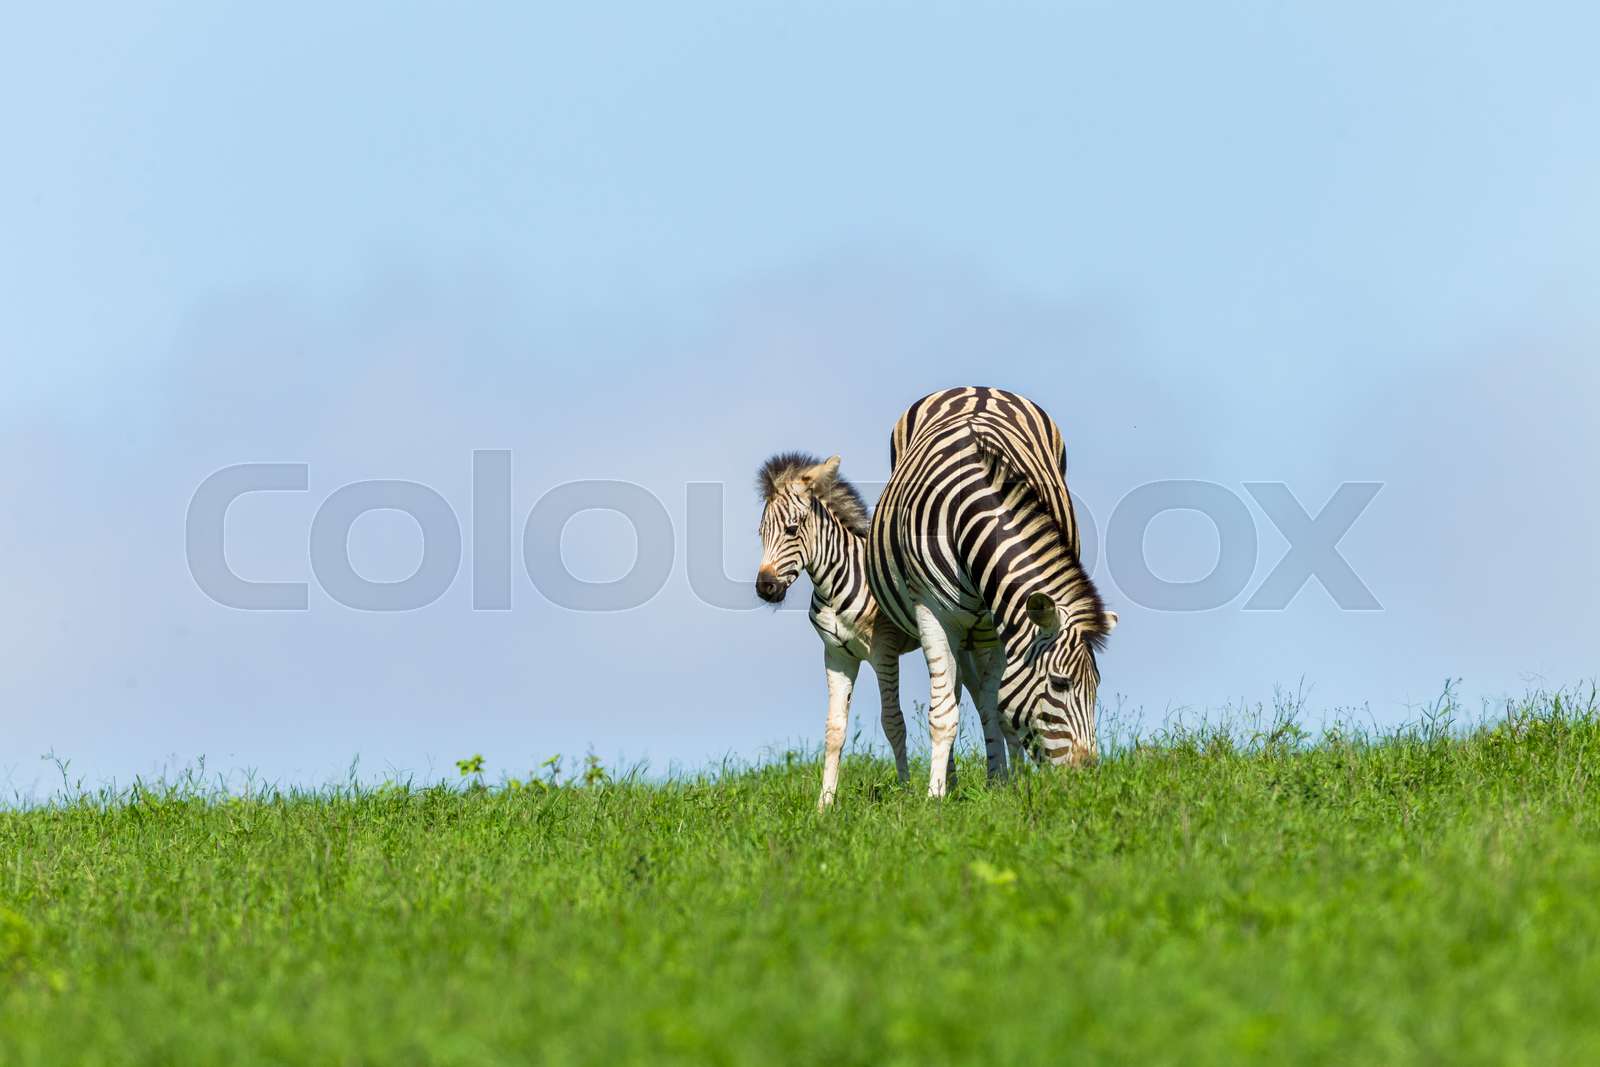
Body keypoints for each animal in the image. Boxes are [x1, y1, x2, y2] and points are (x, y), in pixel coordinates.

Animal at [755, 452, 1008, 809]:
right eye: (760, 532)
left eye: (792, 529)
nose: (765, 588)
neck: (834, 586)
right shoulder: (836, 656)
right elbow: (834, 730)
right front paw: (824, 804)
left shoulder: (883, 652)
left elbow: (893, 722)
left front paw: (904, 790)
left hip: (978, 645)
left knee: (993, 703)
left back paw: (1006, 779)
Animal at [866, 387, 1117, 797]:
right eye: (1060, 683)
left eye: (1096, 685)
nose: (1086, 779)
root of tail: (975, 388)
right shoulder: (931, 612)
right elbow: (943, 711)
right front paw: (935, 797)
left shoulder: (1003, 622)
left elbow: (998, 702)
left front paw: (1006, 783)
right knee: (952, 692)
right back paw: (952, 781)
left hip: (980, 632)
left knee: (983, 696)